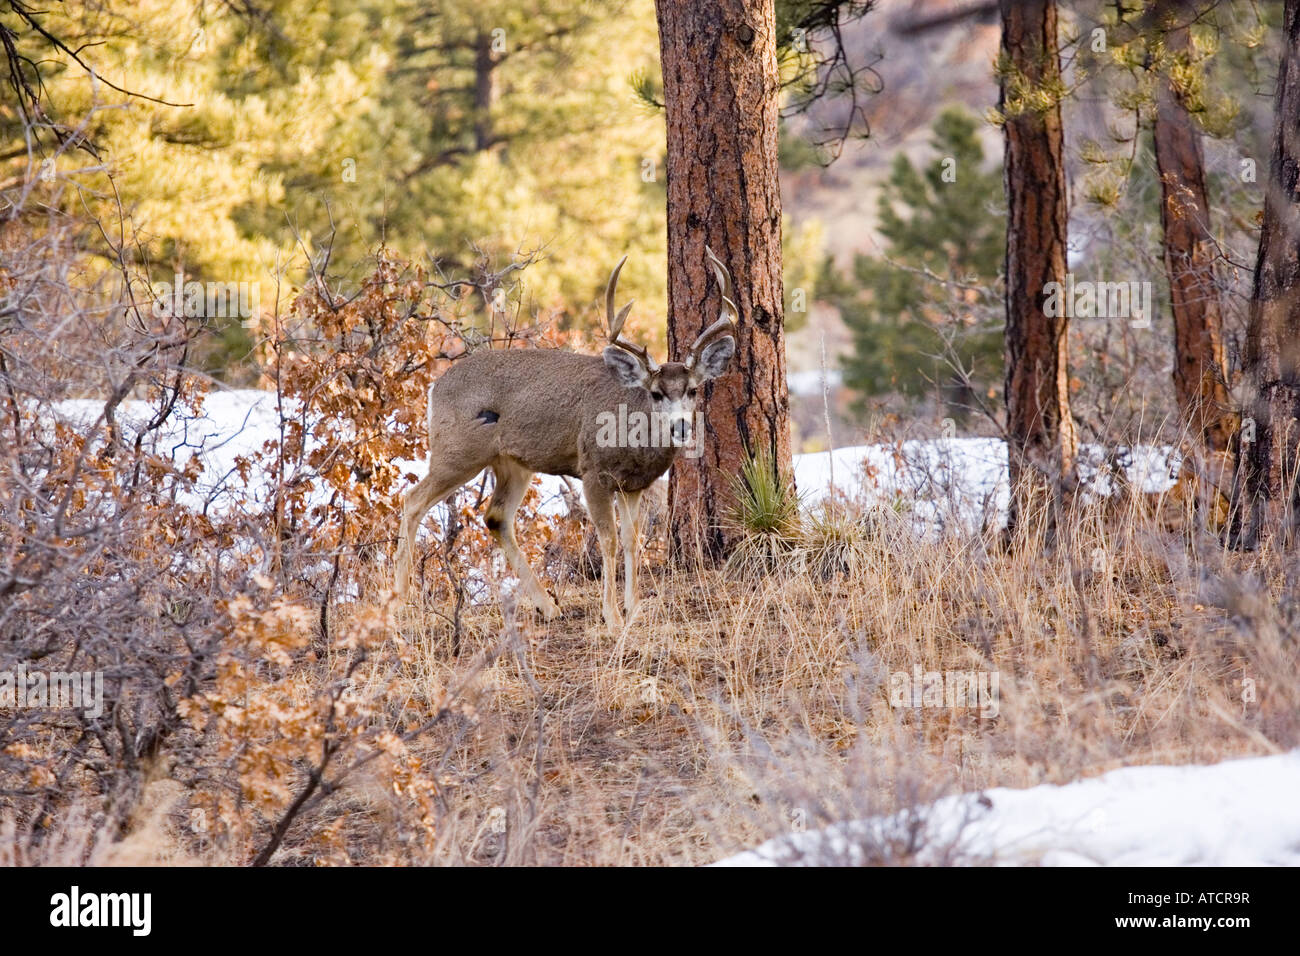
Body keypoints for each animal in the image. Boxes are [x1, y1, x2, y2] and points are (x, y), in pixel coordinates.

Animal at [394, 247, 738, 625]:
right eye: (656, 393)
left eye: (692, 390)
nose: (680, 426)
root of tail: (433, 388)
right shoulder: (593, 472)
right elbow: (609, 539)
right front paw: (612, 617)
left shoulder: (633, 485)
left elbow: (632, 540)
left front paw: (633, 609)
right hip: (456, 451)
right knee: (411, 502)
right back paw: (398, 603)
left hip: (512, 464)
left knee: (496, 517)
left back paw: (549, 607)